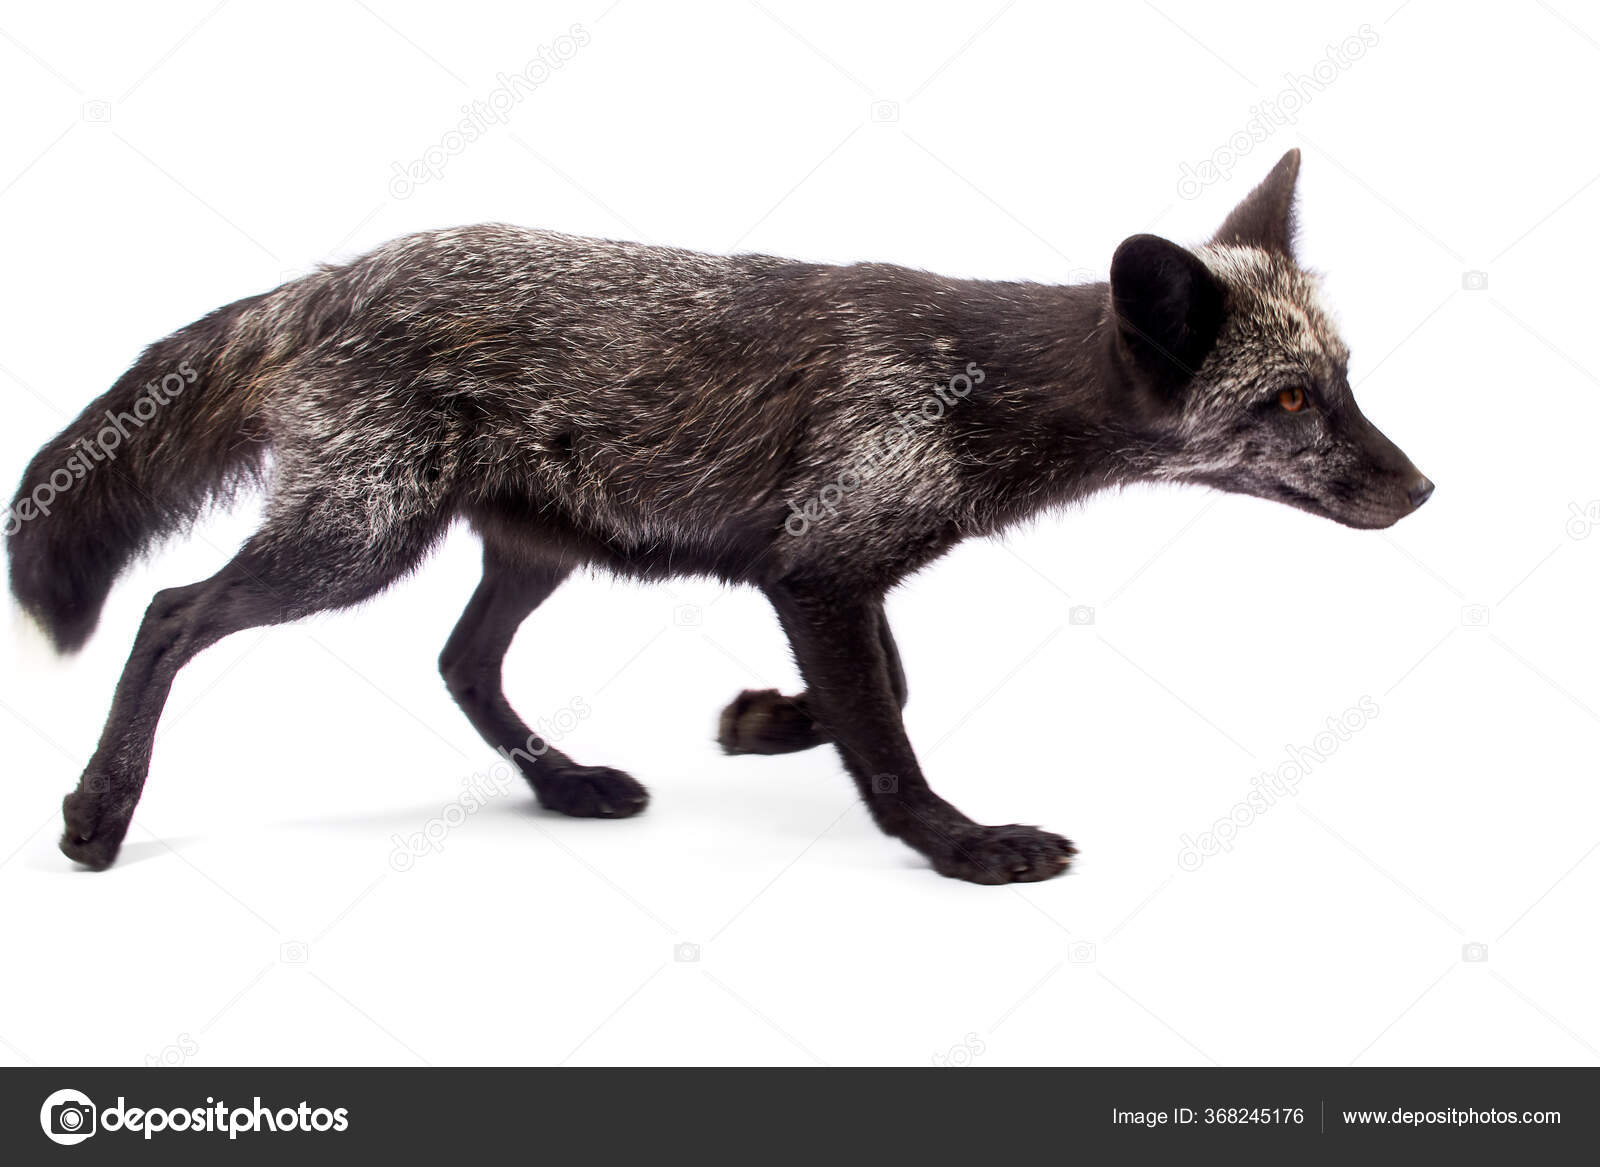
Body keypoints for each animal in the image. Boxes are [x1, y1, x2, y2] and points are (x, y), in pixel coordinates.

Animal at [8, 147, 1430, 882]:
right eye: (1289, 400)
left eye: (1343, 383)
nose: (1421, 491)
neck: (976, 385)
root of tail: (312, 283)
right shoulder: (819, 571)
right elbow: (889, 735)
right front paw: (957, 843)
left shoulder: (829, 570)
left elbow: (888, 688)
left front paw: (769, 723)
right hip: (355, 541)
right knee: (169, 613)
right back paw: (98, 812)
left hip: (529, 550)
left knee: (461, 663)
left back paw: (566, 787)